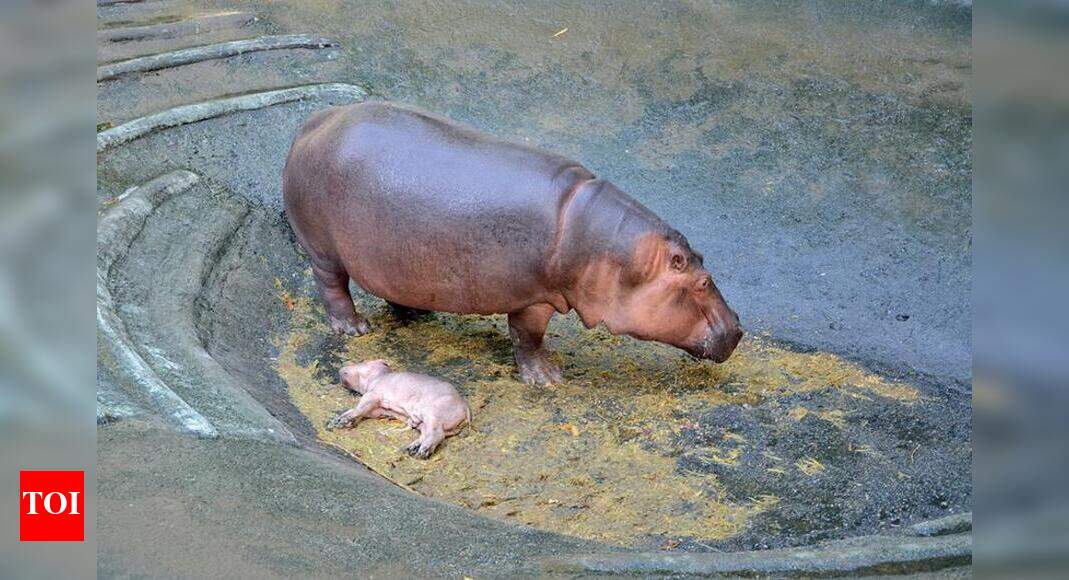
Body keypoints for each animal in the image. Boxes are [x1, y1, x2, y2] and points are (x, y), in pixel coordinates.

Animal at [283, 102, 743, 385]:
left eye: (706, 264)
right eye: (702, 282)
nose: (739, 328)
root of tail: (315, 122)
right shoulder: (535, 296)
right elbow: (526, 336)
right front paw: (548, 378)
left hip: (395, 257)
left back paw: (416, 312)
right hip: (323, 248)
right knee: (332, 285)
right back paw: (354, 327)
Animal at [326, 359, 470, 459]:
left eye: (363, 361)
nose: (342, 367)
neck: (377, 378)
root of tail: (466, 408)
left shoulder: (374, 394)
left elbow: (360, 407)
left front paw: (340, 422)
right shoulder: (378, 410)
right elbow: (361, 411)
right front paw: (337, 422)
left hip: (433, 413)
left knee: (437, 434)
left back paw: (421, 453)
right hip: (430, 423)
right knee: (428, 434)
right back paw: (411, 450)